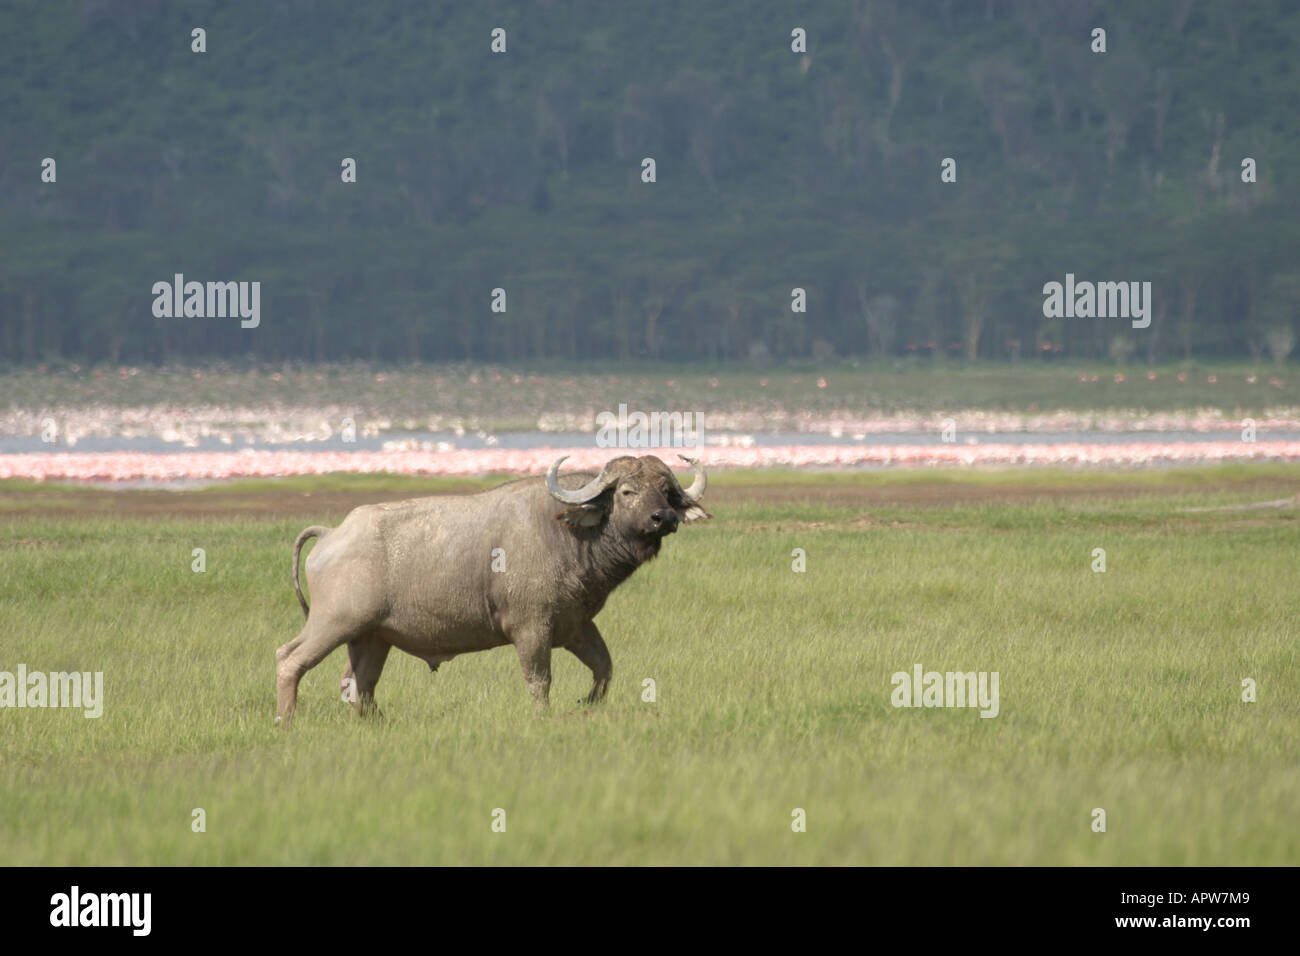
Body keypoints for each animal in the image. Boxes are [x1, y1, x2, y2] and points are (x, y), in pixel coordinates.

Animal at [274, 453, 709, 724]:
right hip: (334, 623)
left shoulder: (576, 626)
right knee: (289, 659)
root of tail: (332, 533)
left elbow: (604, 667)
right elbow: (539, 680)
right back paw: (285, 720)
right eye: (626, 491)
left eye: (665, 490)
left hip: (372, 637)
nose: (663, 518)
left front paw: (587, 703)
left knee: (357, 685)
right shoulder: (531, 629)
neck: (568, 533)